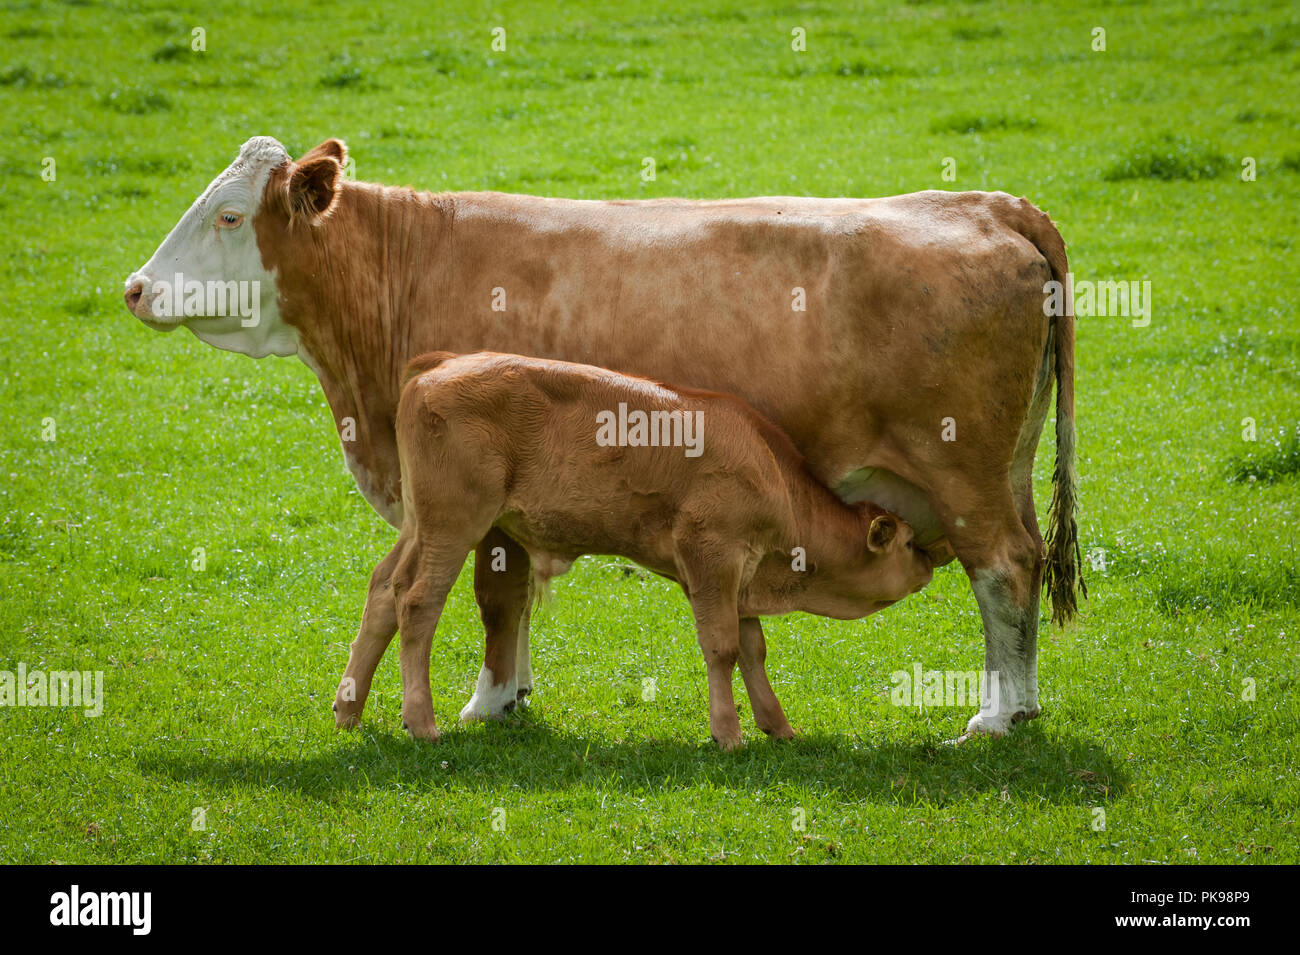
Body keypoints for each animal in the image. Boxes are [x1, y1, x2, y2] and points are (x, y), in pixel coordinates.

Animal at [335, 350, 937, 746]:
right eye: (908, 541)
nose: (933, 559)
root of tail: (439, 366)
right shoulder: (711, 556)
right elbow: (722, 647)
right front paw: (729, 734)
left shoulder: (739, 576)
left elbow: (752, 648)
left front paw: (779, 726)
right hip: (453, 523)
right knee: (418, 601)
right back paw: (421, 723)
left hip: (420, 526)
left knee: (383, 589)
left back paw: (349, 709)